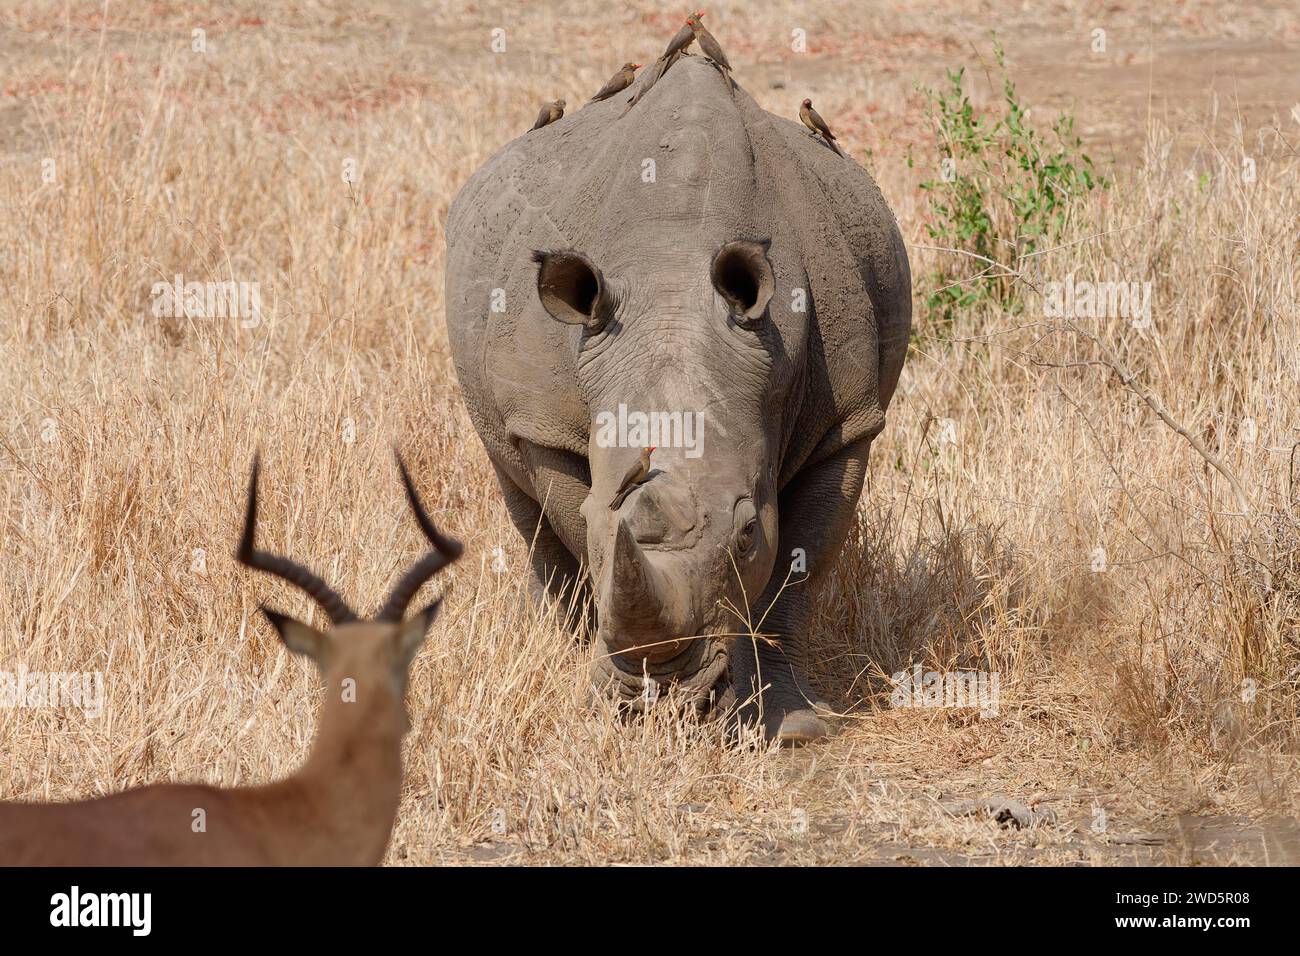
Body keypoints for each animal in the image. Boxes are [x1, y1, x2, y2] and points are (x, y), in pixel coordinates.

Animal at [444, 54, 911, 744]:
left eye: (746, 535)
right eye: (595, 519)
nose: (661, 699)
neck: (672, 284)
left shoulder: (846, 425)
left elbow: (794, 574)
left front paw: (791, 724)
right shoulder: (546, 424)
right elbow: (579, 534)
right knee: (516, 486)